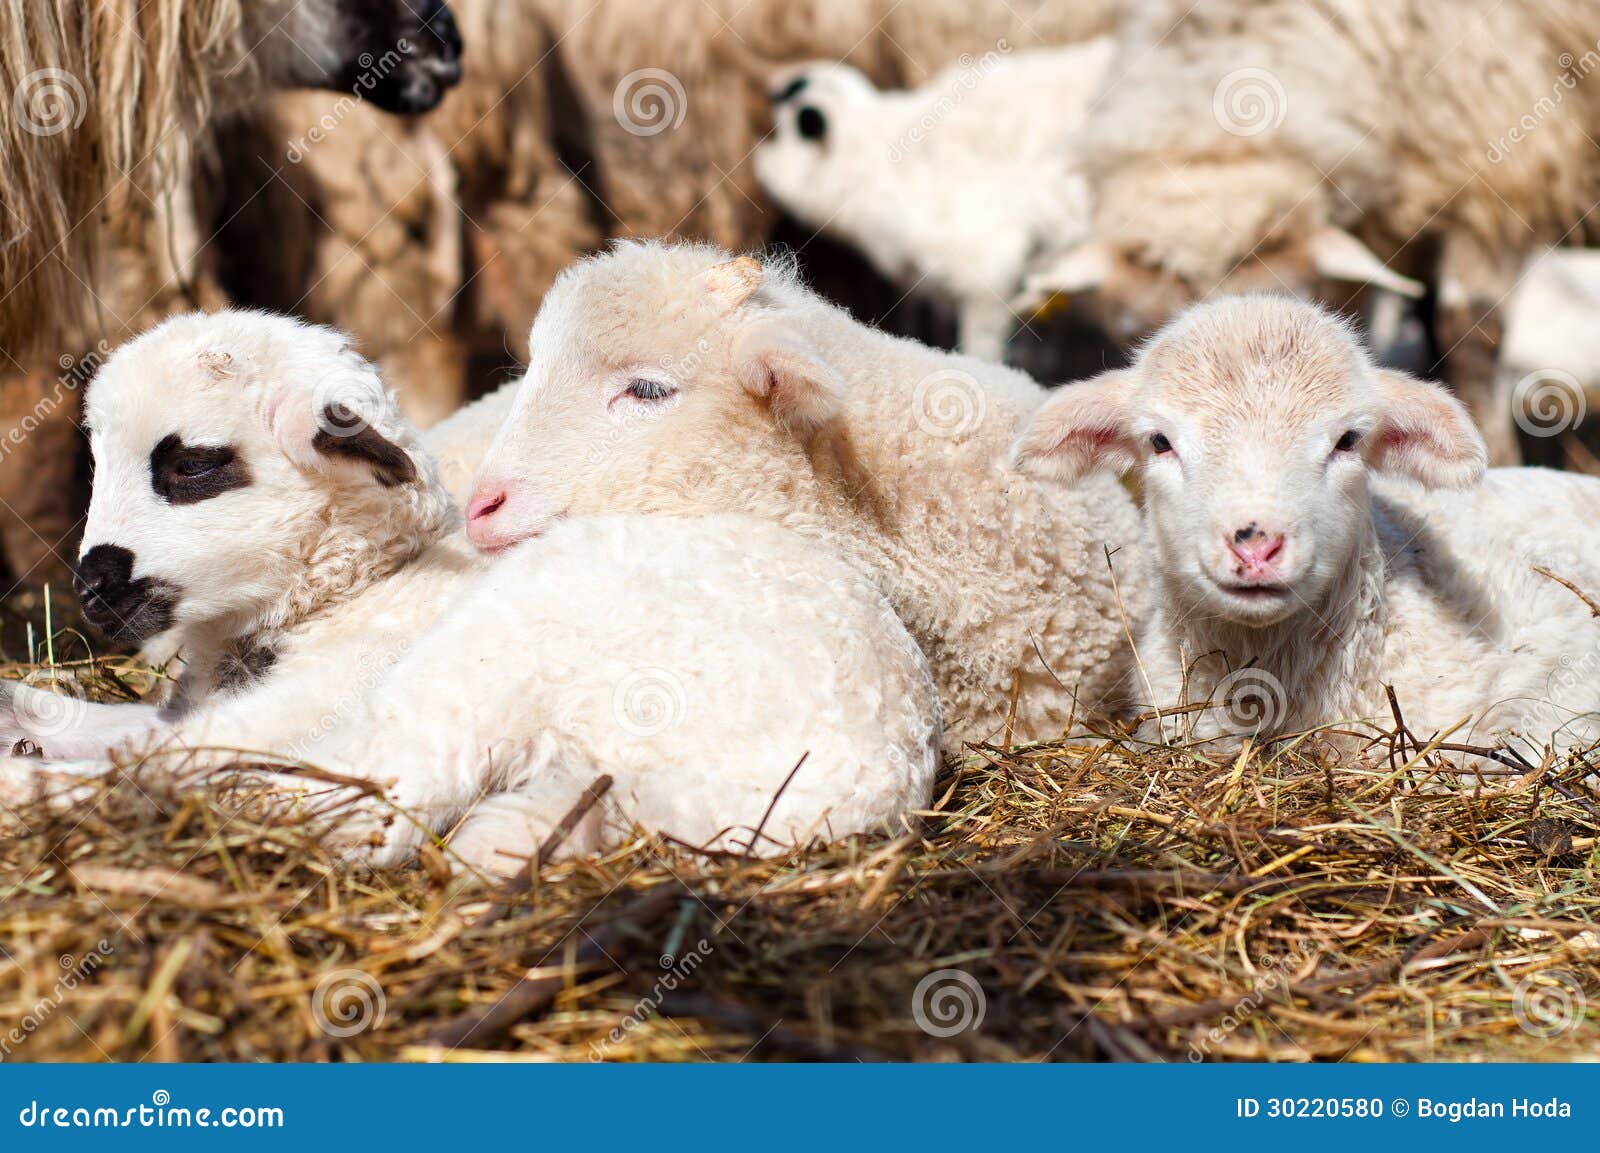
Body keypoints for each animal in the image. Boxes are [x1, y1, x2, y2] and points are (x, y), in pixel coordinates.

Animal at [2, 310, 938, 871]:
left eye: (192, 464)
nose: (90, 587)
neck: (355, 589)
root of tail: (871, 778)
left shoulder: (311, 700)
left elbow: (175, 753)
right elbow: (135, 727)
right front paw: (26, 717)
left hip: (501, 656)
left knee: (346, 803)